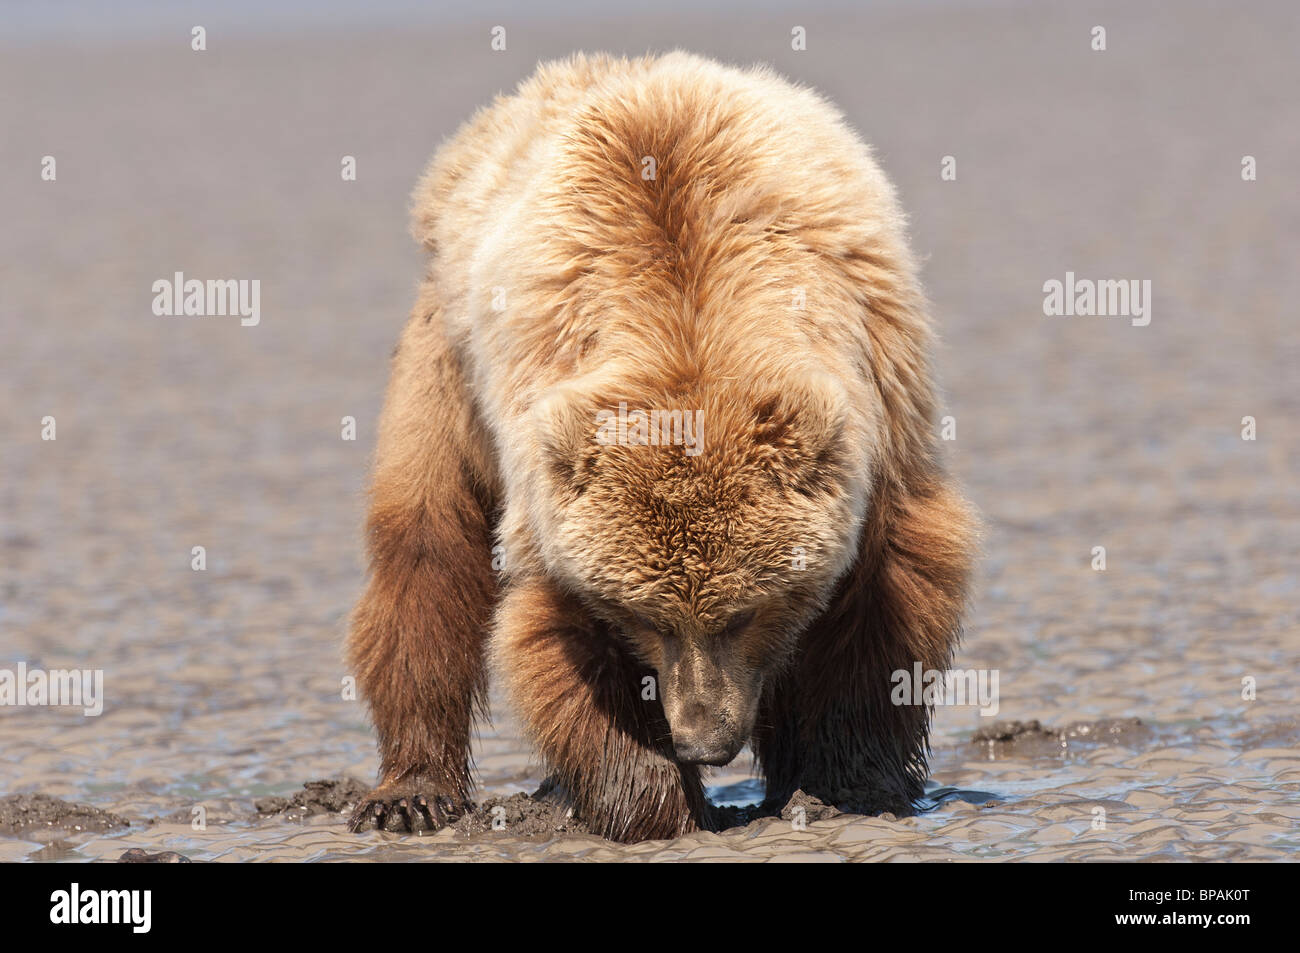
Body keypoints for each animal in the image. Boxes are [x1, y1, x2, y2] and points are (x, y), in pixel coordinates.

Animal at [345, 51, 977, 842]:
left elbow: (882, 605)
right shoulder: (546, 453)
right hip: (446, 365)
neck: (691, 321)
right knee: (426, 549)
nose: (704, 740)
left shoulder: (882, 403)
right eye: (649, 618)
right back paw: (410, 792)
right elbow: (559, 631)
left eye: (746, 612)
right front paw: (660, 802)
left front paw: (848, 782)